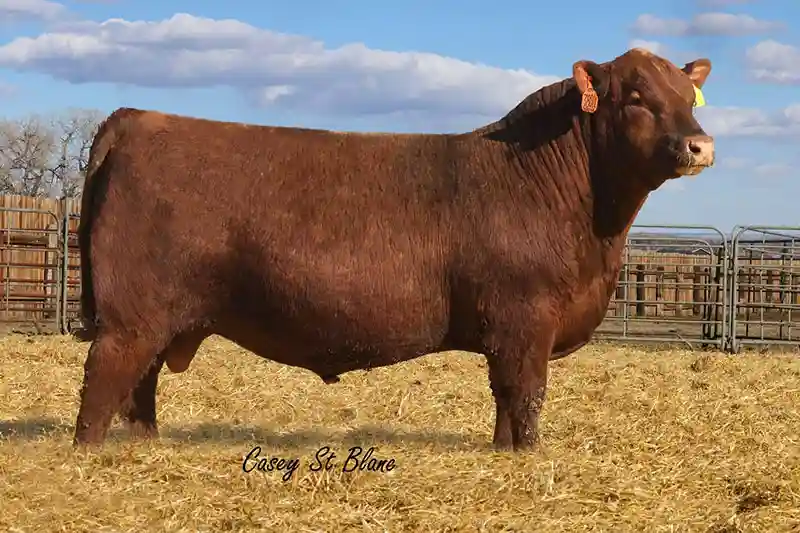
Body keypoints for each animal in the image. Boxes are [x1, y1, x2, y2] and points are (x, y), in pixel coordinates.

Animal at [72, 47, 714, 450]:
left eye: (690, 97)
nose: (700, 145)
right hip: (131, 317)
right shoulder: (524, 317)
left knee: (140, 388)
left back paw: (146, 446)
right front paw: (530, 455)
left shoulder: (510, 330)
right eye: (635, 96)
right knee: (105, 382)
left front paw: (503, 451)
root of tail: (136, 117)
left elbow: (505, 401)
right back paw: (92, 454)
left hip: (159, 320)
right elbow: (526, 396)